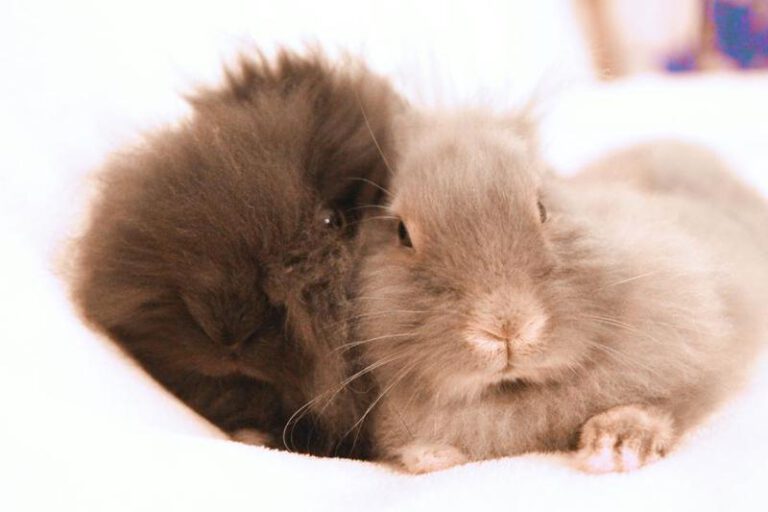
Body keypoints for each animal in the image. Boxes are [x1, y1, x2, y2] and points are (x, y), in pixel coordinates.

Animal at [353, 109, 768, 474]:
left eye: (542, 208)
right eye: (402, 234)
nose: (506, 328)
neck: (517, 390)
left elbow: (666, 405)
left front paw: (614, 447)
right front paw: (429, 455)